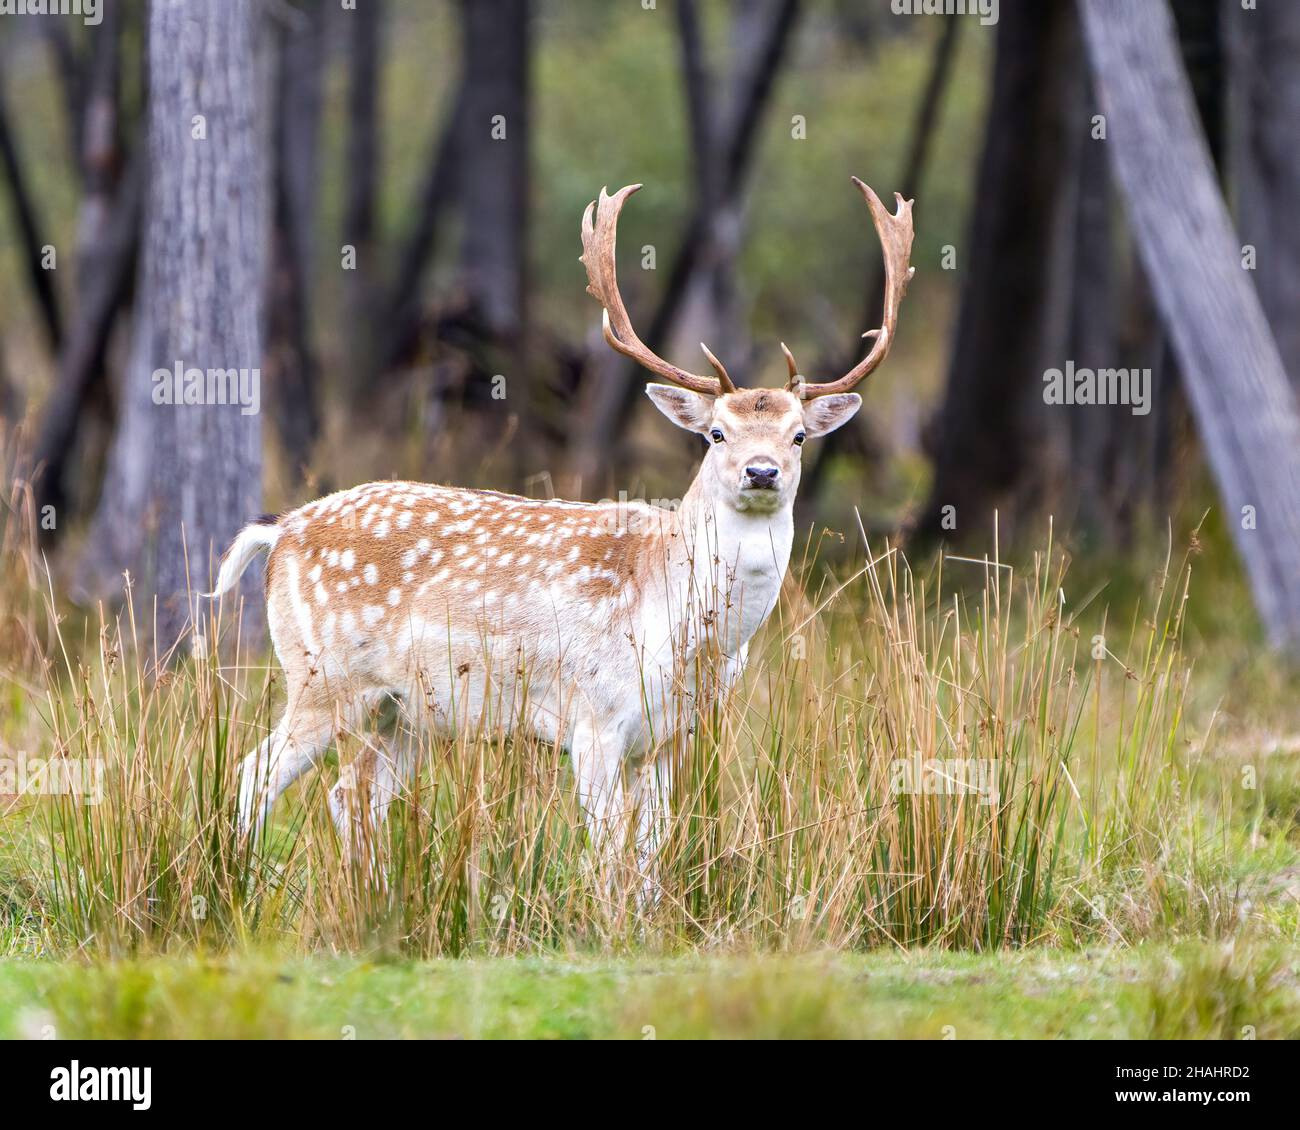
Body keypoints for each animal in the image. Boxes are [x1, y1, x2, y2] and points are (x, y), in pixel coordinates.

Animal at [210, 178, 914, 884]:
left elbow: (649, 858)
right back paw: (240, 888)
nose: (761, 471)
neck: (685, 625)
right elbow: (608, 858)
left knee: (350, 793)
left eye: (798, 436)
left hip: (410, 713)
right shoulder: (594, 721)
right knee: (253, 774)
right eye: (716, 433)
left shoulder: (675, 738)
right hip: (323, 675)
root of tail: (282, 529)